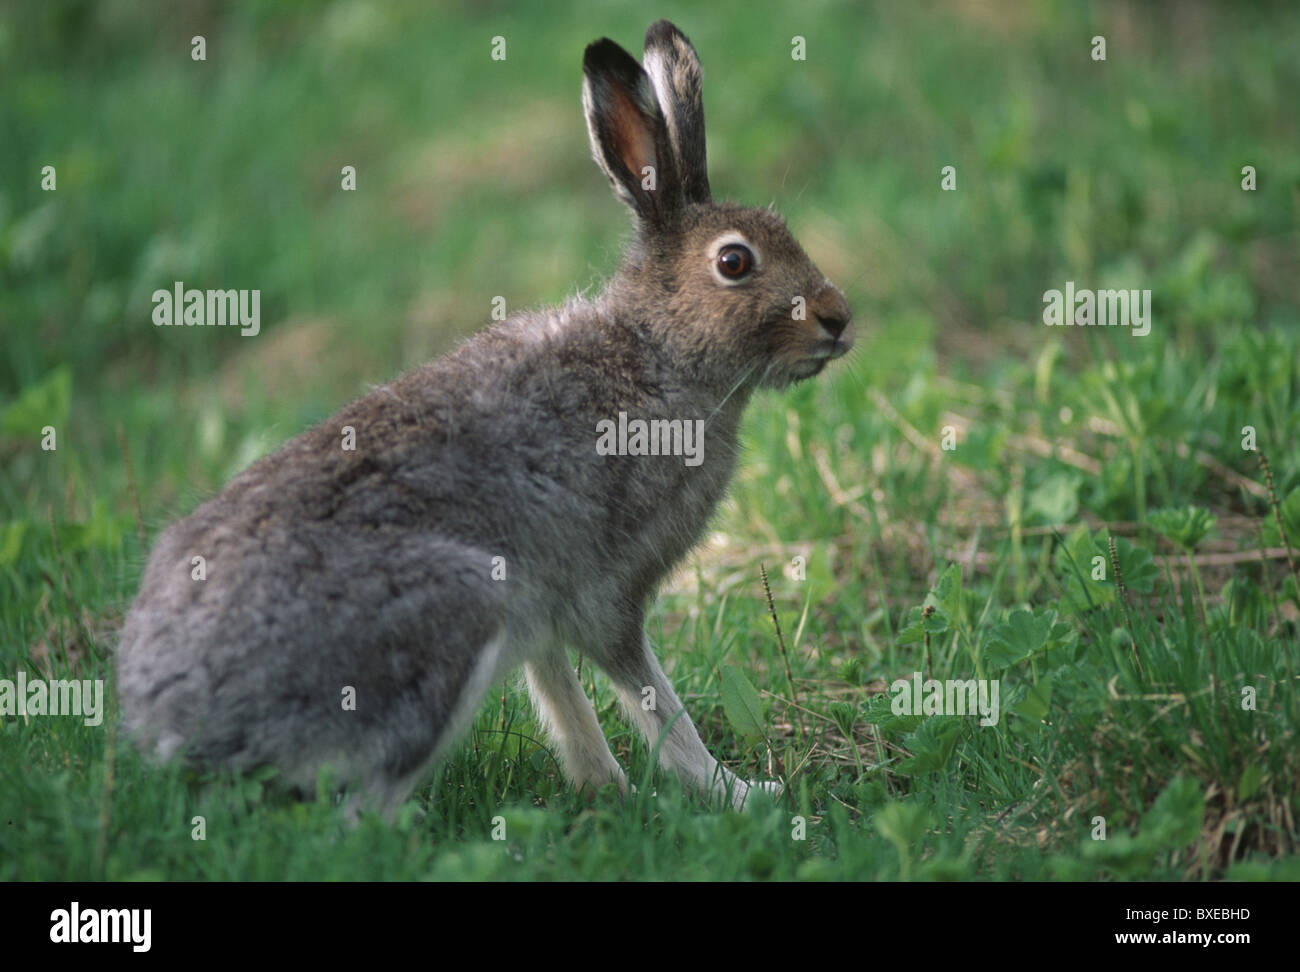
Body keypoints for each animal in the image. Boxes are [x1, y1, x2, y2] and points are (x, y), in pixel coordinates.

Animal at [117, 19, 853, 819]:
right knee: (359, 814)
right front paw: (740, 793)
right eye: (735, 263)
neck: (659, 355)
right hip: (454, 617)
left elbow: (558, 687)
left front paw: (605, 787)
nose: (839, 319)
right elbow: (654, 699)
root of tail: (171, 718)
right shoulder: (608, 591)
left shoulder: (546, 607)